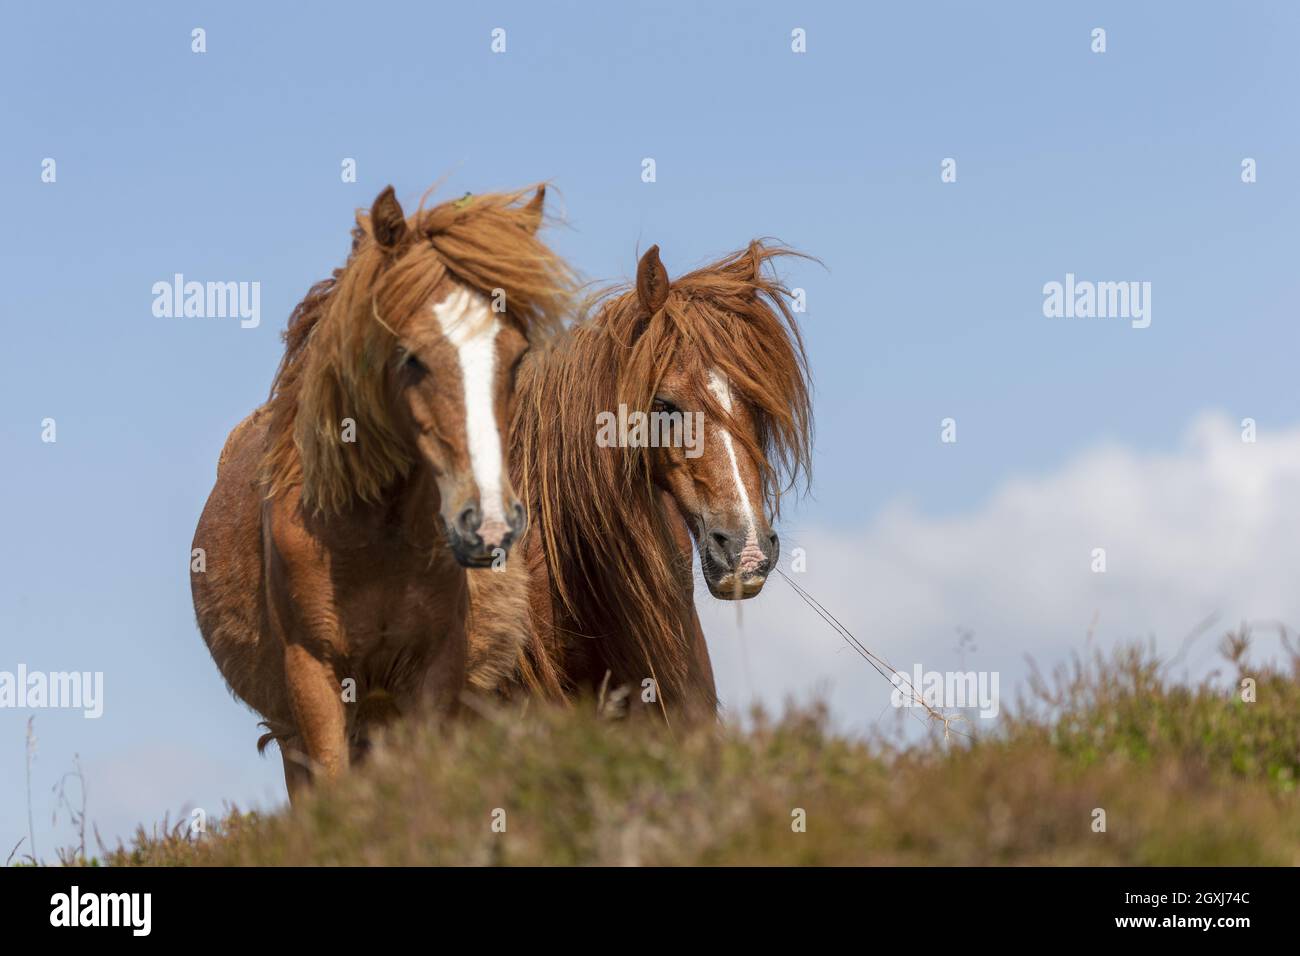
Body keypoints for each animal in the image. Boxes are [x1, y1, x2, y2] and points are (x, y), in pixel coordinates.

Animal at [191, 184, 574, 797]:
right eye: (410, 357)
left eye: (515, 357)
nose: (489, 522)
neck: (375, 538)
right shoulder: (315, 675)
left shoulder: (433, 671)